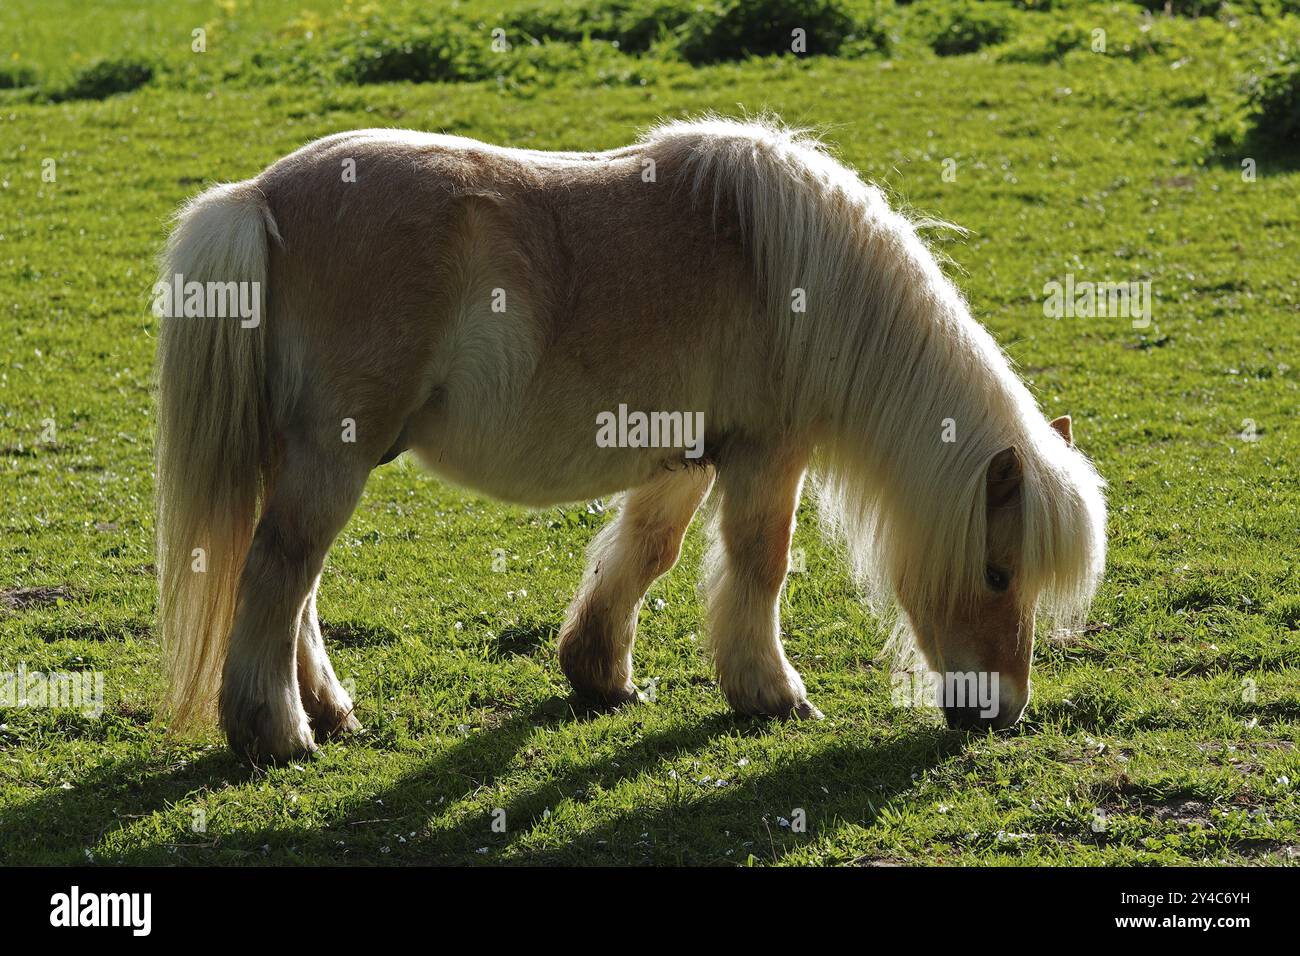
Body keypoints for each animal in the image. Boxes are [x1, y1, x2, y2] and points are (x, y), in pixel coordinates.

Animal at [154, 116, 1107, 762]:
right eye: (997, 573)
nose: (1002, 710)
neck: (793, 277)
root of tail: (260, 200)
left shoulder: (684, 457)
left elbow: (646, 552)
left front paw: (600, 675)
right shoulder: (765, 453)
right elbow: (761, 562)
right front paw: (771, 694)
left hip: (313, 457)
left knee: (295, 590)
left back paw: (330, 712)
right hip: (334, 458)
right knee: (280, 574)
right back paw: (278, 733)